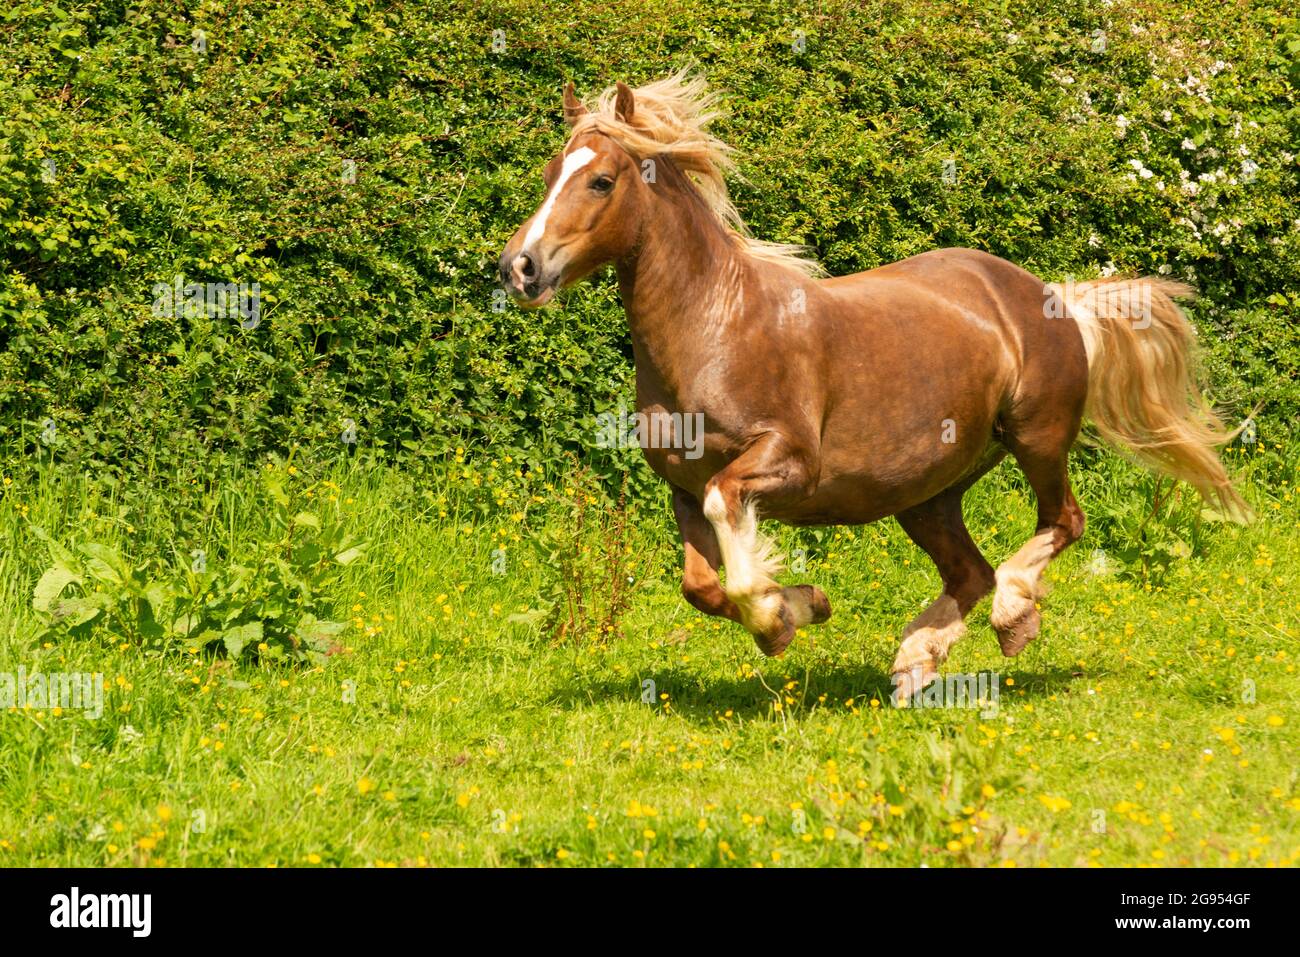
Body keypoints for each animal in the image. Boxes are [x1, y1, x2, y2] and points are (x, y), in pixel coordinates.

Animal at [498, 71, 1249, 701]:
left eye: (600, 181)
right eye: (549, 174)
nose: (519, 268)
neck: (715, 326)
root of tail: (1051, 294)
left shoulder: (784, 463)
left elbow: (729, 538)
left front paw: (782, 613)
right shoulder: (682, 485)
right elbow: (701, 586)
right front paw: (798, 607)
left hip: (1036, 438)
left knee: (1059, 523)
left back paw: (1013, 619)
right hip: (927, 492)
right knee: (969, 570)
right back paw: (916, 660)